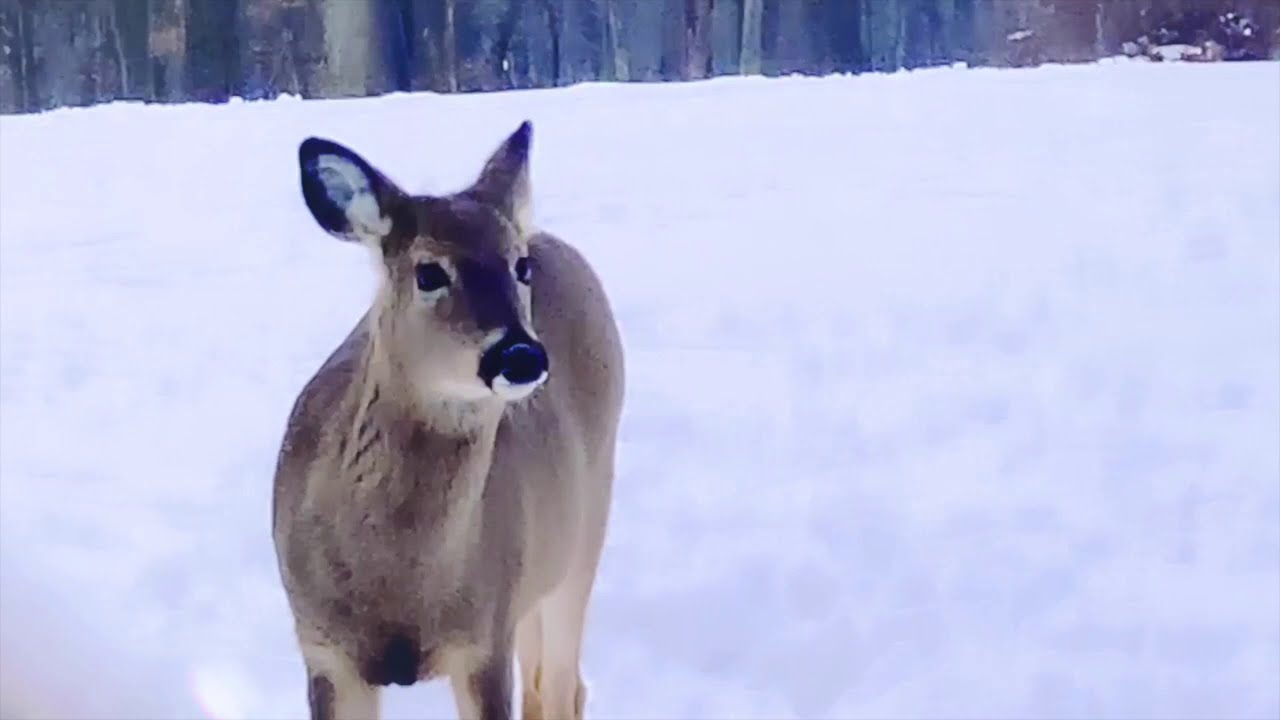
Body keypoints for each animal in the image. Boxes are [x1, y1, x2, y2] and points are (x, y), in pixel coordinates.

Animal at [271, 120, 625, 720]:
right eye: (430, 272)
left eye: (519, 266)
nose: (521, 355)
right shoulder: (322, 648)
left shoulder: (485, 637)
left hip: (584, 529)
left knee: (563, 685)